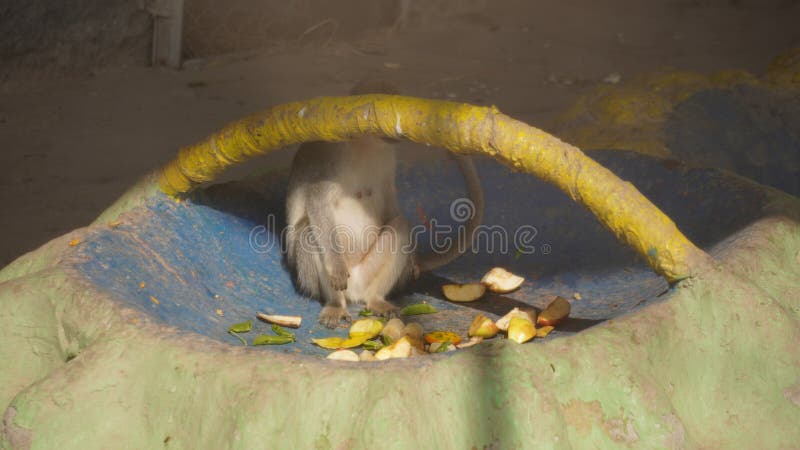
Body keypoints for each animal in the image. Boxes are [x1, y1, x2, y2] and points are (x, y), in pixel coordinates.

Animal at [285, 80, 483, 328]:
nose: (397, 133)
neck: (366, 145)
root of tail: (355, 291)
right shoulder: (332, 154)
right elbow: (317, 200)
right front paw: (337, 268)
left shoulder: (388, 157)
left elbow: (389, 203)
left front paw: (412, 262)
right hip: (319, 277)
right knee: (307, 231)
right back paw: (336, 303)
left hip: (366, 274)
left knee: (401, 226)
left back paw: (376, 299)